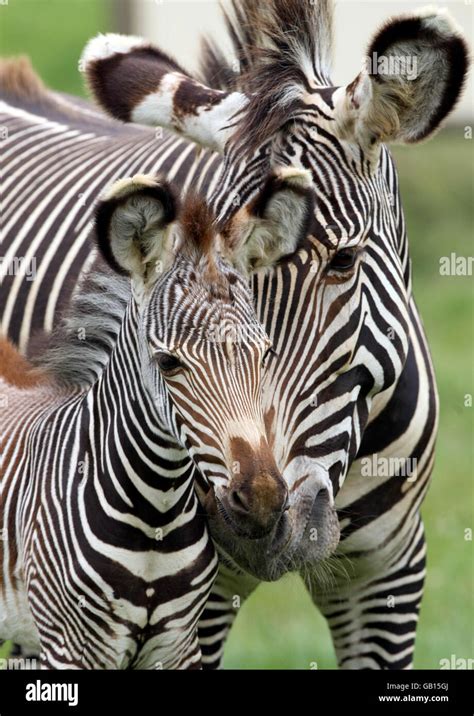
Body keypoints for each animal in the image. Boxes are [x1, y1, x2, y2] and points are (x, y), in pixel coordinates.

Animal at [0, 171, 302, 668]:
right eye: (167, 363)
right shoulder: (69, 649)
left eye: (266, 355)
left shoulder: (176, 648)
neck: (154, 517)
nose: (261, 499)